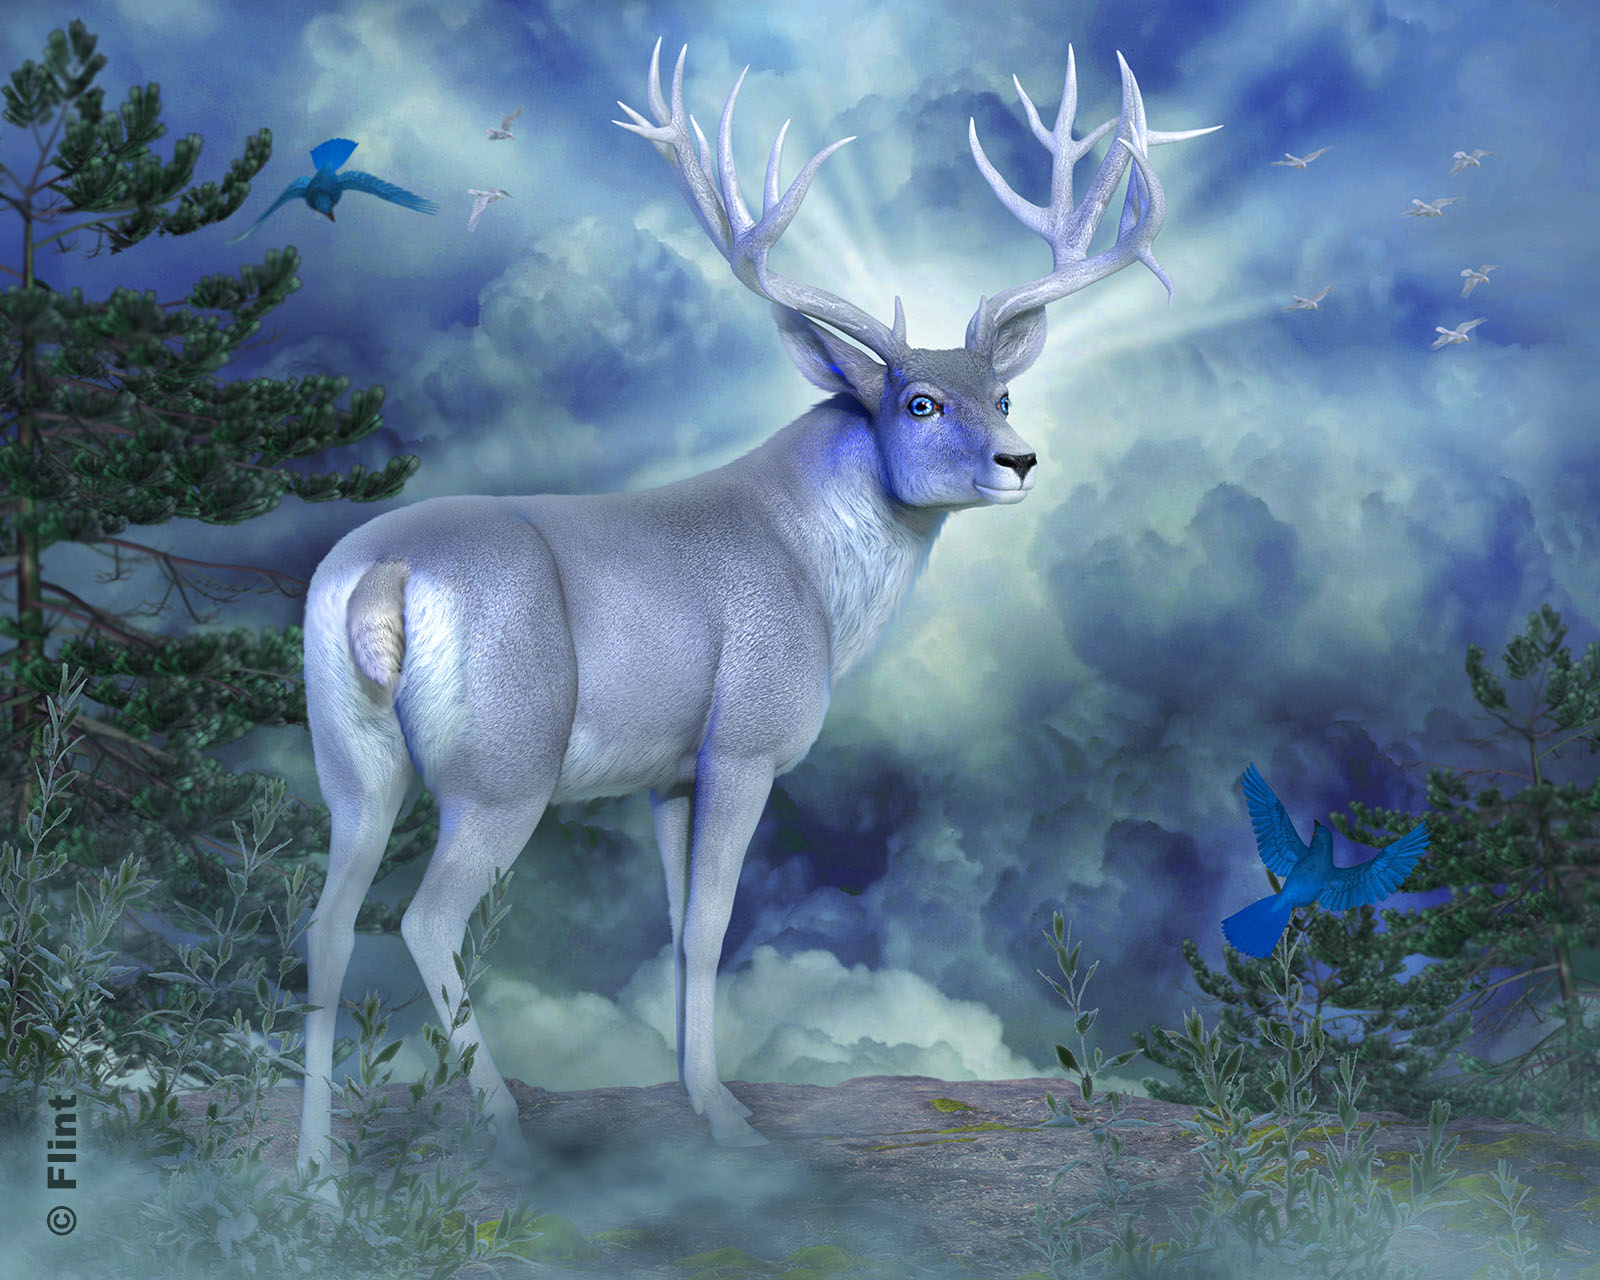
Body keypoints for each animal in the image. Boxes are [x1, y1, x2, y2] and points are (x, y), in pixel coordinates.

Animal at [295, 38, 1219, 1174]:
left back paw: (315, 1174)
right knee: (424, 920)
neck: (807, 560)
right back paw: (503, 1124)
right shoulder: (742, 741)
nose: (1021, 460)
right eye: (918, 401)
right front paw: (722, 1111)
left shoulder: (665, 774)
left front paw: (691, 1092)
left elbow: (676, 923)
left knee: (324, 928)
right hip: (504, 765)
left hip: (351, 758)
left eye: (1000, 394)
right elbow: (708, 925)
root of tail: (384, 573)